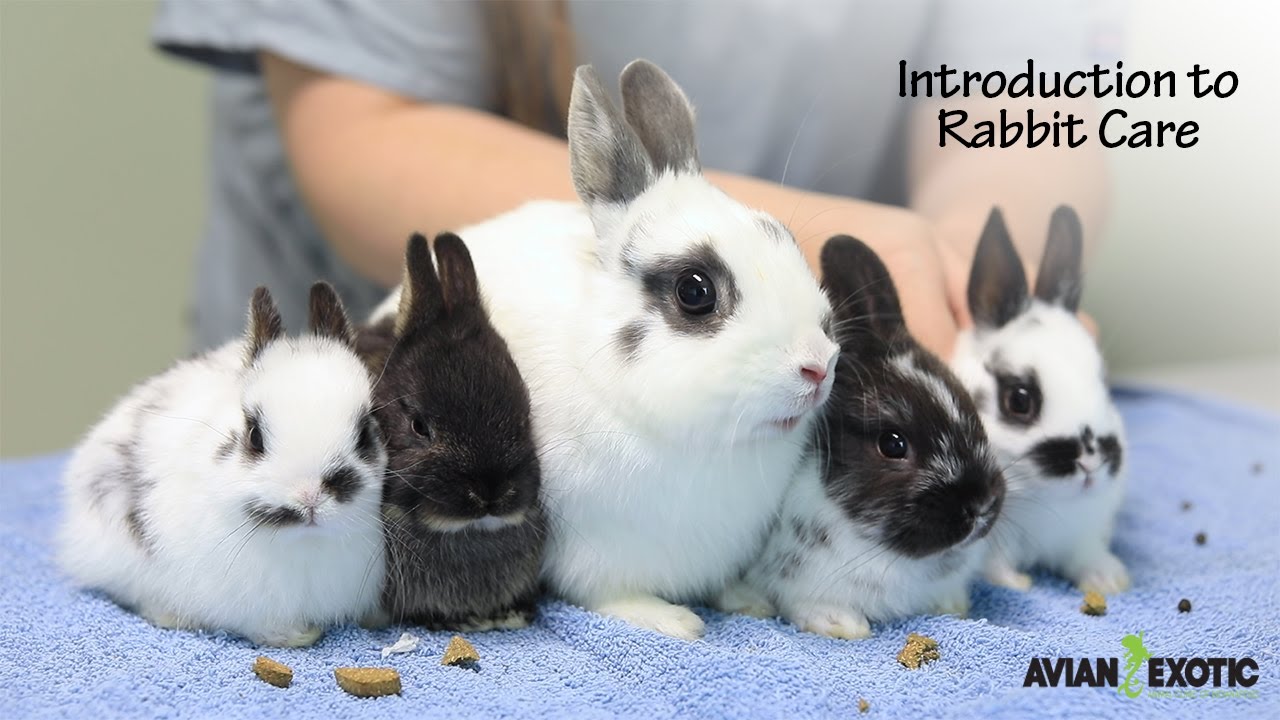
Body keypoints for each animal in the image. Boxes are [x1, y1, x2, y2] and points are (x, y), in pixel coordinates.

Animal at [950, 206, 1130, 595]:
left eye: (1104, 382)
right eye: (1019, 400)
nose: (1090, 462)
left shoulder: (1081, 537)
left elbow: (1085, 557)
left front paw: (1109, 580)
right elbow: (996, 567)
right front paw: (1016, 583)